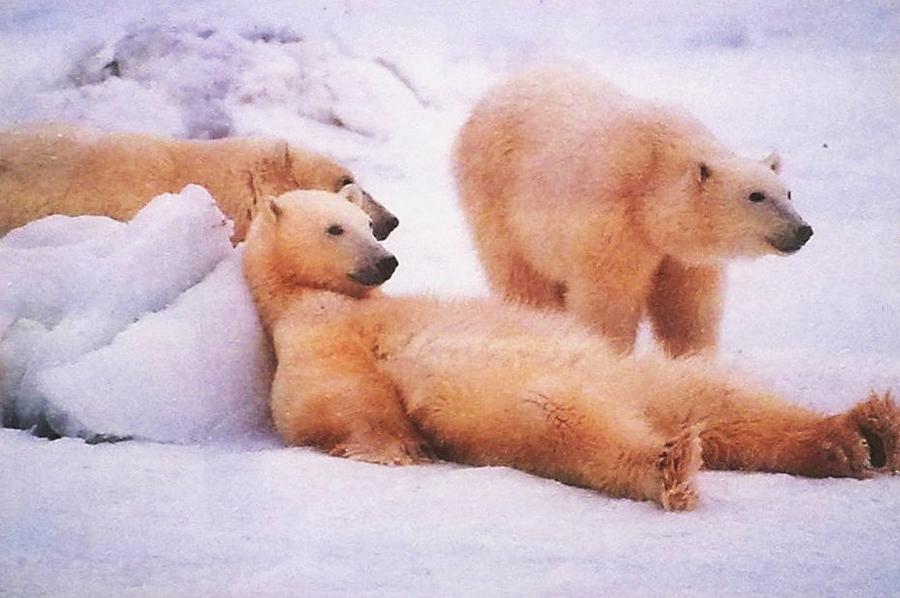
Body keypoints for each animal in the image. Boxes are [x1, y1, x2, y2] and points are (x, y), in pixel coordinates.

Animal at [242, 187, 898, 511]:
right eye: (335, 228)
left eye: (367, 224)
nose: (386, 261)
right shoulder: (314, 335)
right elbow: (333, 400)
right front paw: (396, 448)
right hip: (521, 401)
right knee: (566, 422)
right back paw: (671, 464)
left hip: (636, 375)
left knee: (719, 400)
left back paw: (858, 434)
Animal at [454, 67, 813, 356]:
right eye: (756, 196)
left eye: (787, 192)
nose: (802, 230)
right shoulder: (614, 221)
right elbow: (610, 298)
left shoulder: (682, 256)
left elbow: (687, 307)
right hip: (497, 202)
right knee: (521, 277)